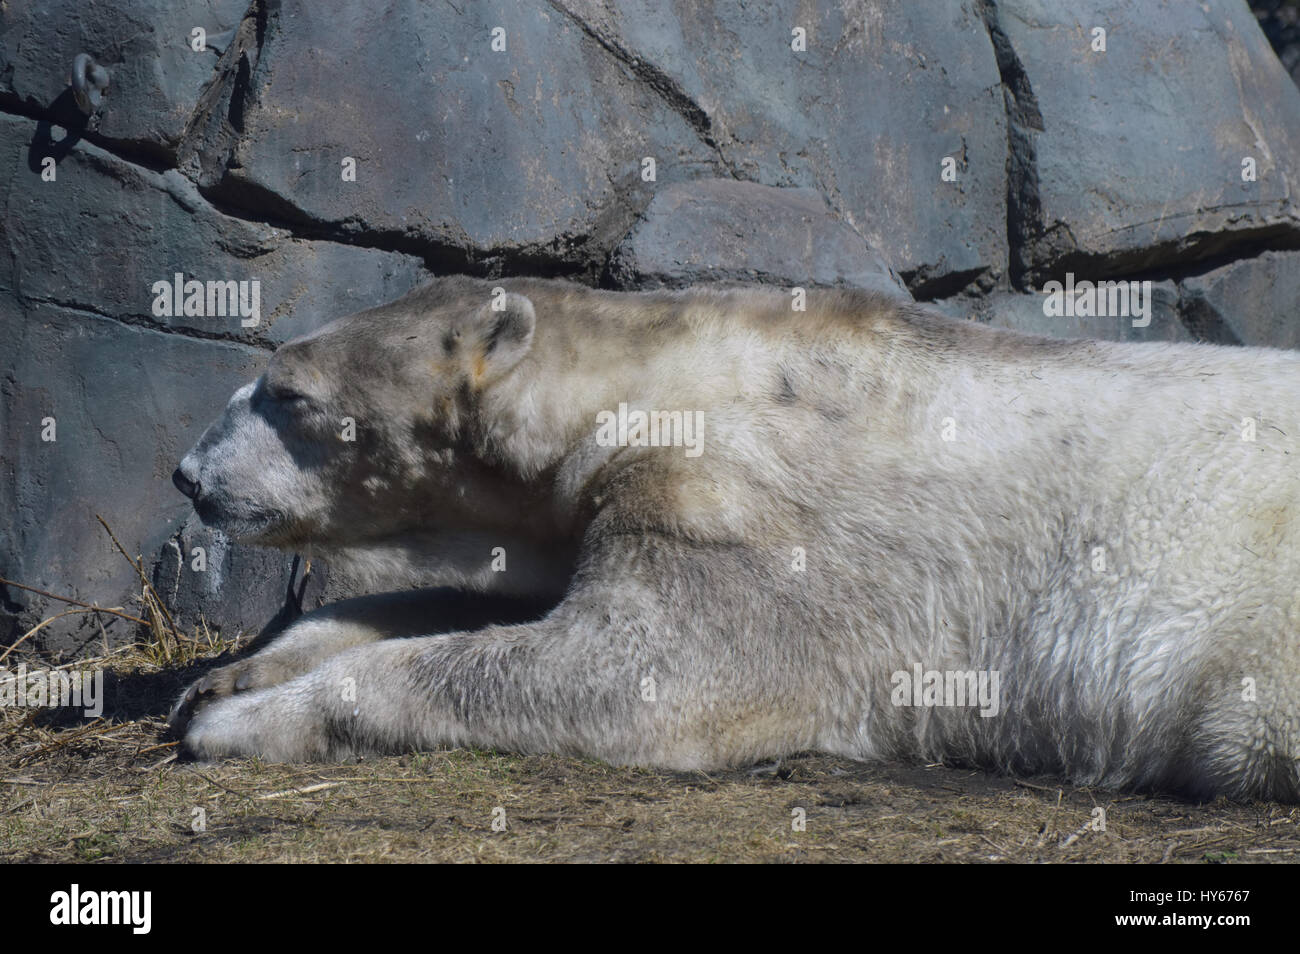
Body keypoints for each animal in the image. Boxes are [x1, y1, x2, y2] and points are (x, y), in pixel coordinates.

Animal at [169, 275, 1300, 801]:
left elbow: (639, 666)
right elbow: (502, 585)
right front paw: (234, 671)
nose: (187, 477)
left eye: (285, 392)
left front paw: (240, 721)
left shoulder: (744, 509)